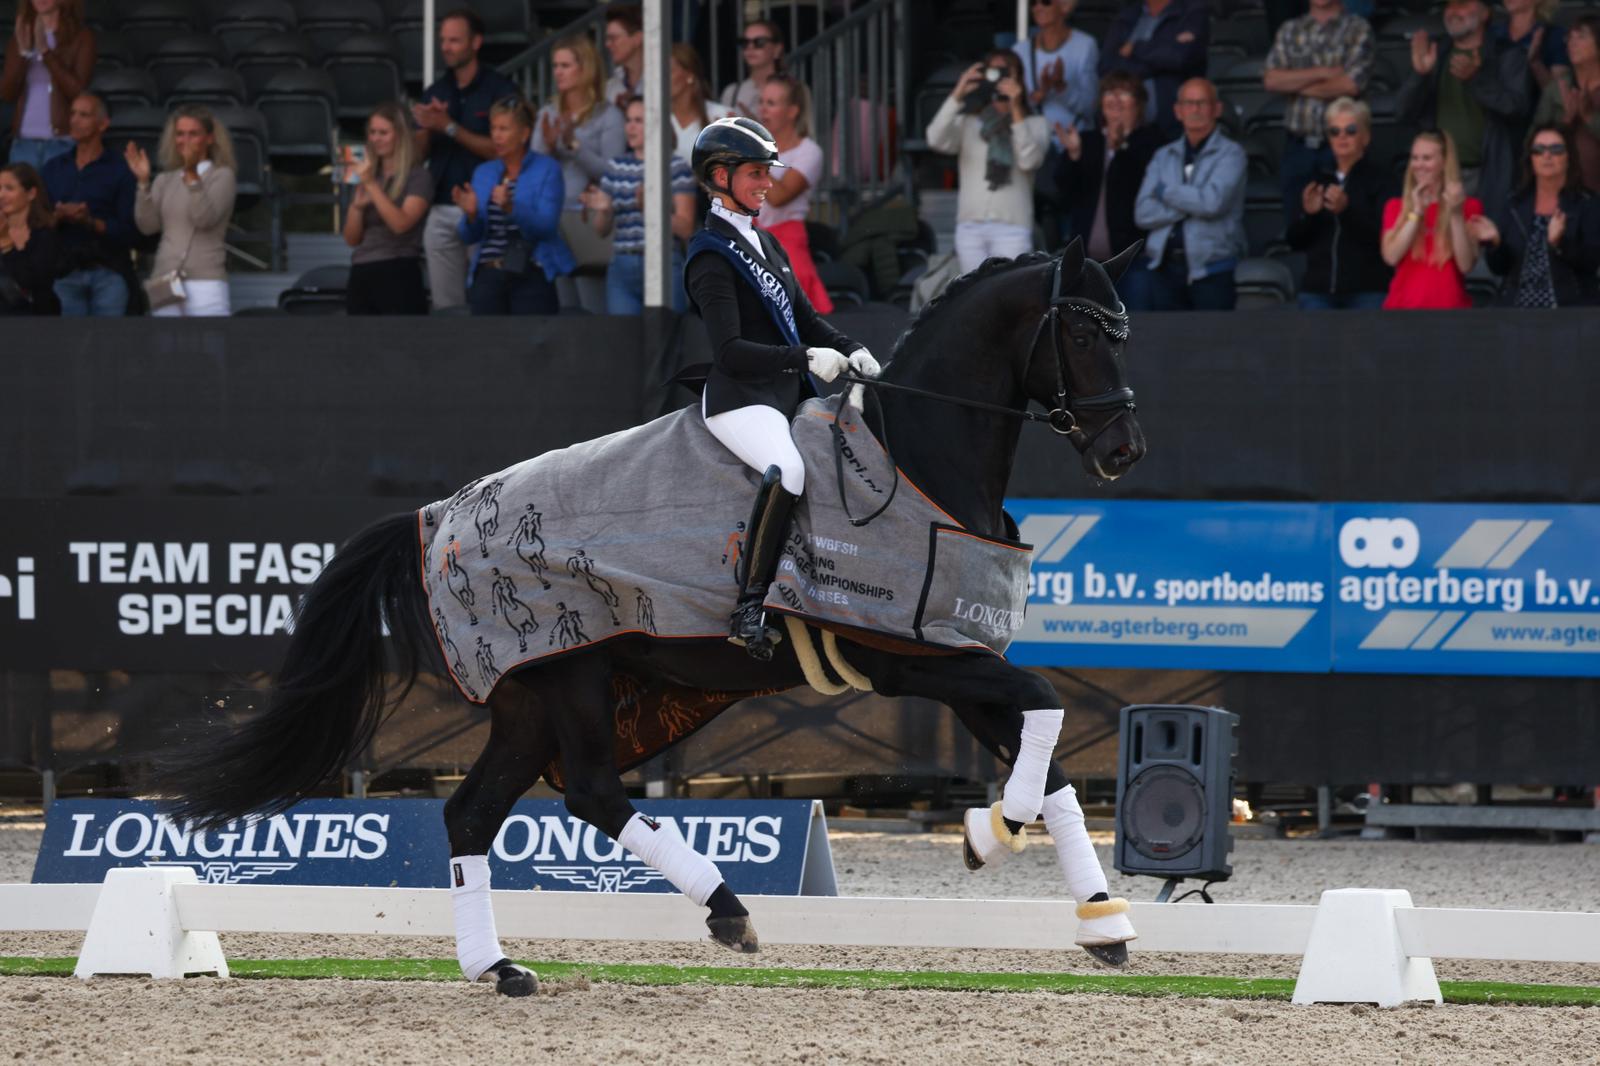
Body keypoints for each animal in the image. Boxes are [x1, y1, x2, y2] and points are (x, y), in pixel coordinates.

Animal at [152, 238, 1149, 997]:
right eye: (1083, 331)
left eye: (1124, 332)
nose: (1123, 449)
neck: (918, 461)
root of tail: (440, 516)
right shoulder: (912, 661)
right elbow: (1046, 706)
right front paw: (989, 835)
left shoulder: (958, 651)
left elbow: (1051, 753)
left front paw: (1100, 919)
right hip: (574, 673)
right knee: (591, 789)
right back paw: (726, 910)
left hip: (530, 695)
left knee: (474, 814)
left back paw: (499, 968)